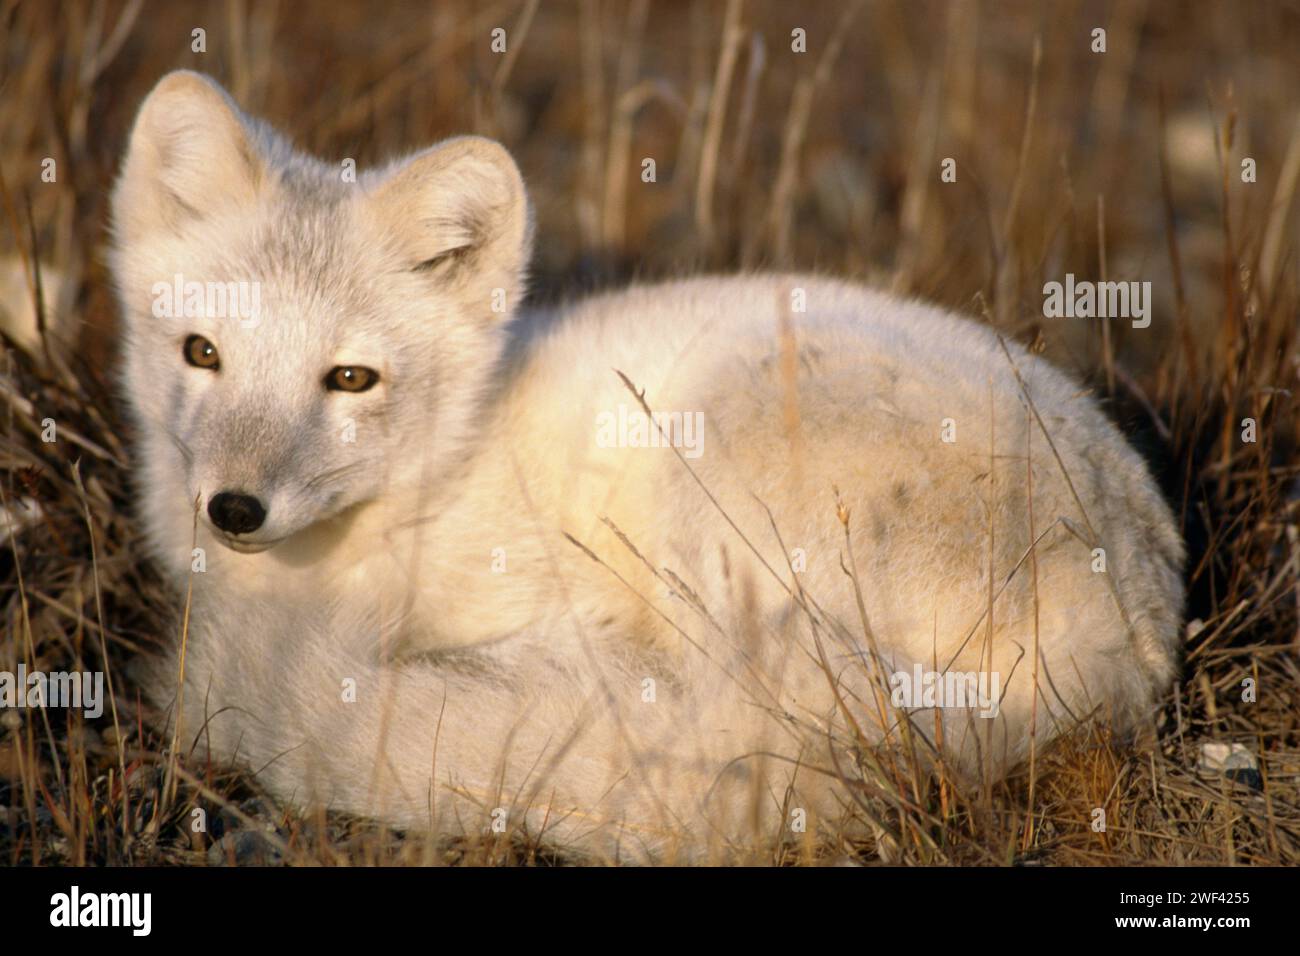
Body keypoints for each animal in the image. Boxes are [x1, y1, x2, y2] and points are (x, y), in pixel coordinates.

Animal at [111, 71, 1185, 861]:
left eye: (349, 378)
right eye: (202, 353)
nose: (232, 510)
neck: (449, 466)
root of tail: (1125, 640)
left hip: (713, 474)